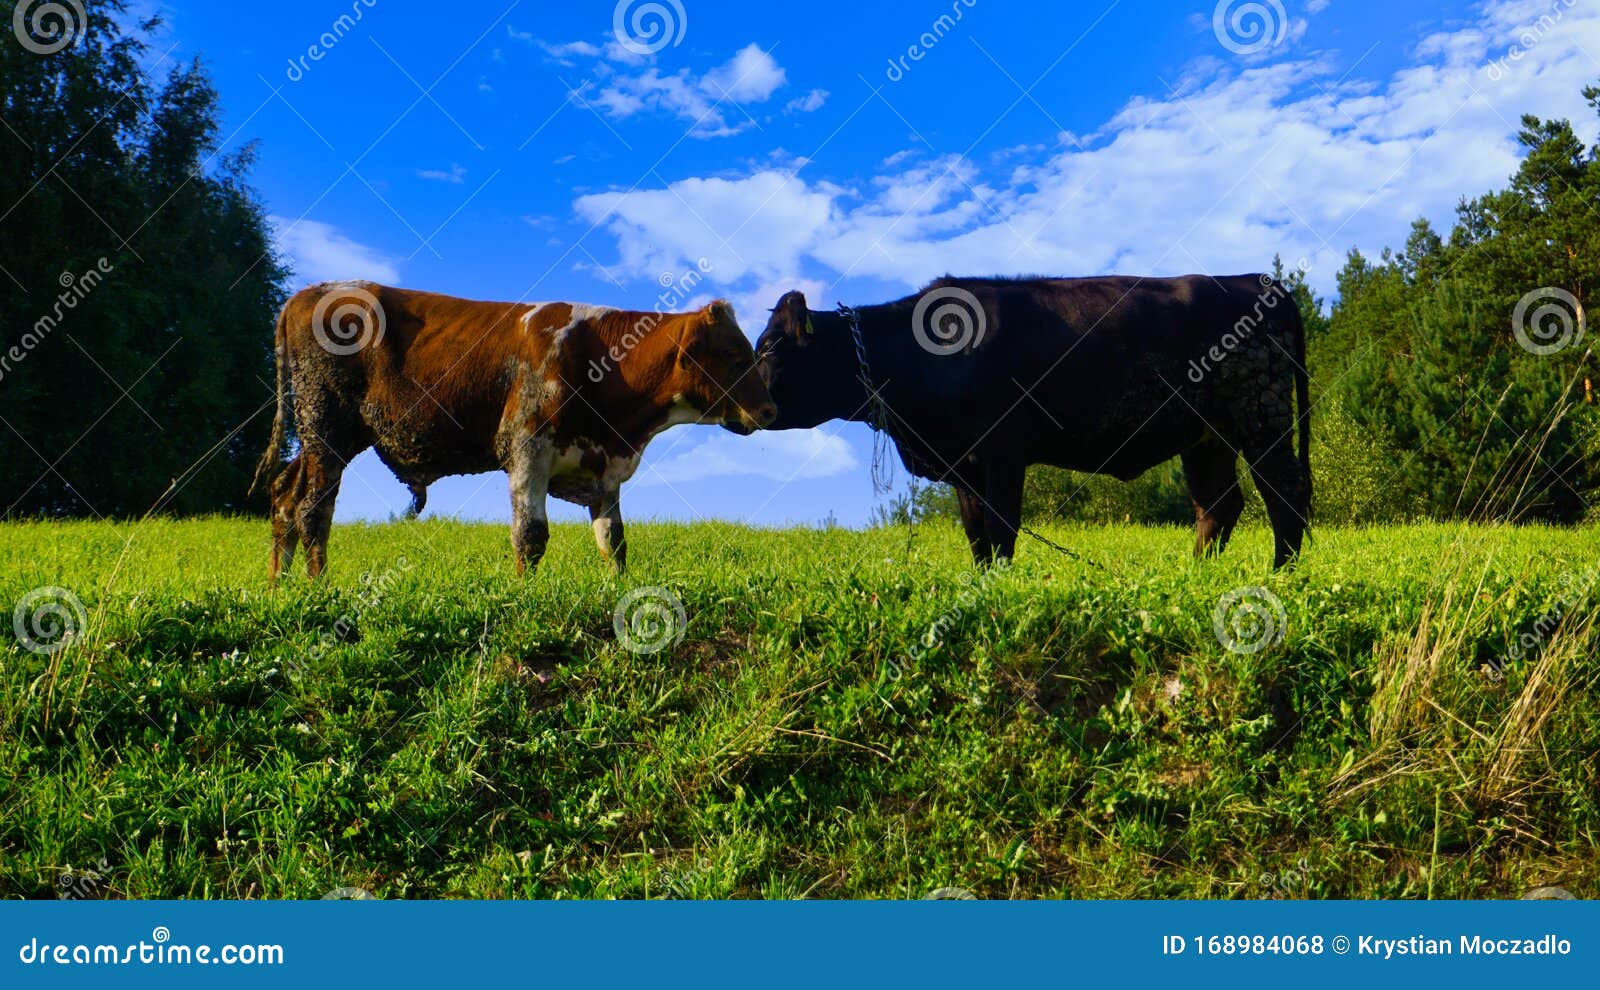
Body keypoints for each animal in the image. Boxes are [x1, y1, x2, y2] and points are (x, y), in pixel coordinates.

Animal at [250, 281, 776, 580]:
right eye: (732, 353)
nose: (771, 409)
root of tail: (304, 295)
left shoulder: (604, 468)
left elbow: (614, 540)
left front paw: (620, 591)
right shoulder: (527, 447)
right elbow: (531, 535)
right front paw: (525, 597)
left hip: (328, 435)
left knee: (285, 496)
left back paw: (280, 587)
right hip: (326, 428)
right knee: (314, 508)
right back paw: (318, 588)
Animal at [754, 275, 1310, 569]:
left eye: (767, 349)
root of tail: (1261, 281)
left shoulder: (1002, 451)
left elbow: (1001, 526)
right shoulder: (964, 465)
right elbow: (975, 531)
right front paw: (981, 582)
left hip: (1262, 418)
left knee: (1284, 493)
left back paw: (1279, 574)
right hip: (1206, 438)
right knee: (1218, 504)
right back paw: (1196, 573)